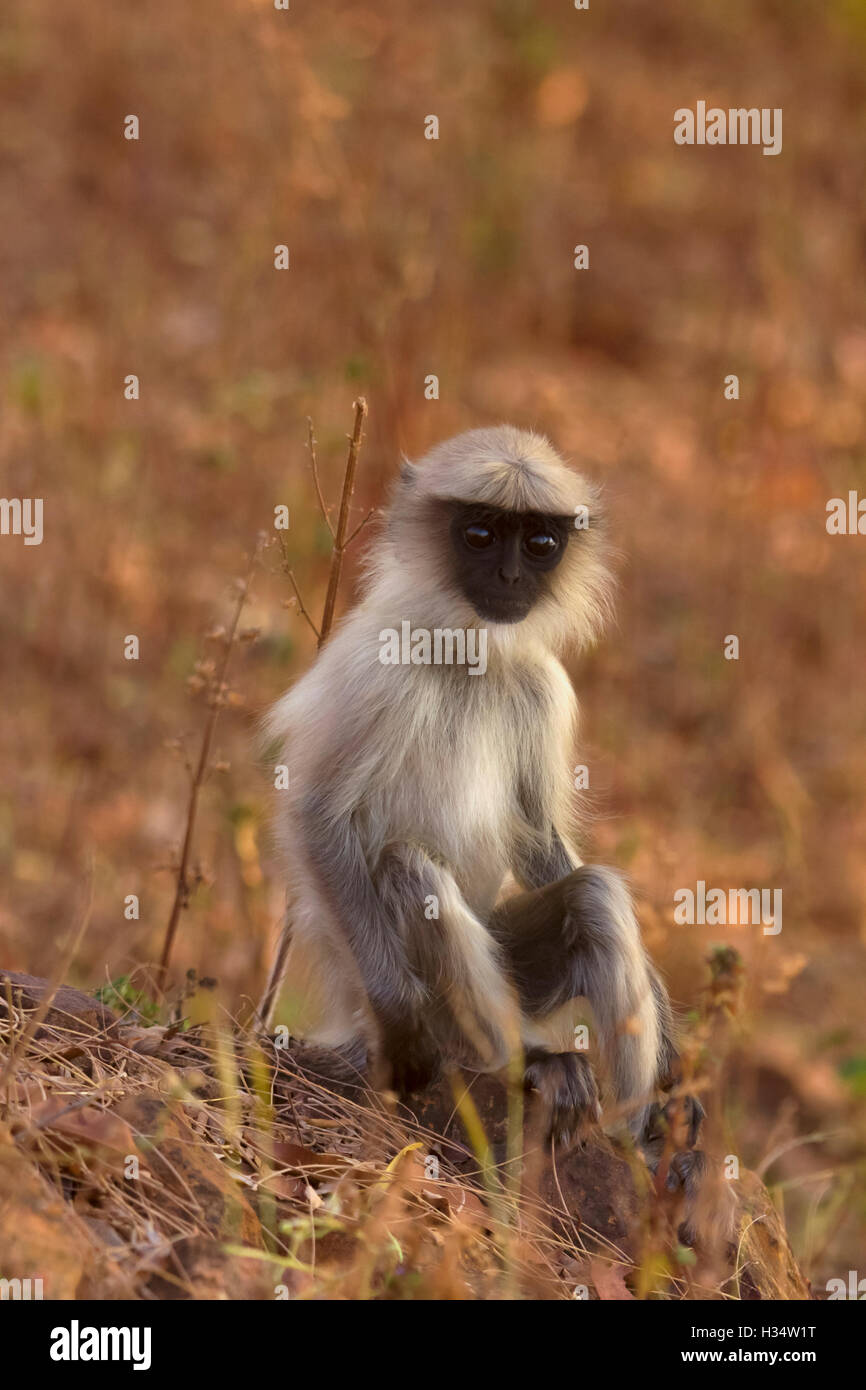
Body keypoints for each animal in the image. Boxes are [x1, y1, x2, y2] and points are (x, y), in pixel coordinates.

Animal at [259, 425, 701, 1152]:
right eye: (480, 535)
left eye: (540, 543)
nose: (509, 577)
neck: (464, 651)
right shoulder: (376, 666)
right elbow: (317, 815)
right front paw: (403, 1025)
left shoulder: (543, 685)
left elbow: (541, 840)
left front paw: (670, 1060)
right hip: (421, 1010)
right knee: (408, 869)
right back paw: (528, 1063)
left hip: (521, 974)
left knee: (595, 894)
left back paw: (639, 1139)